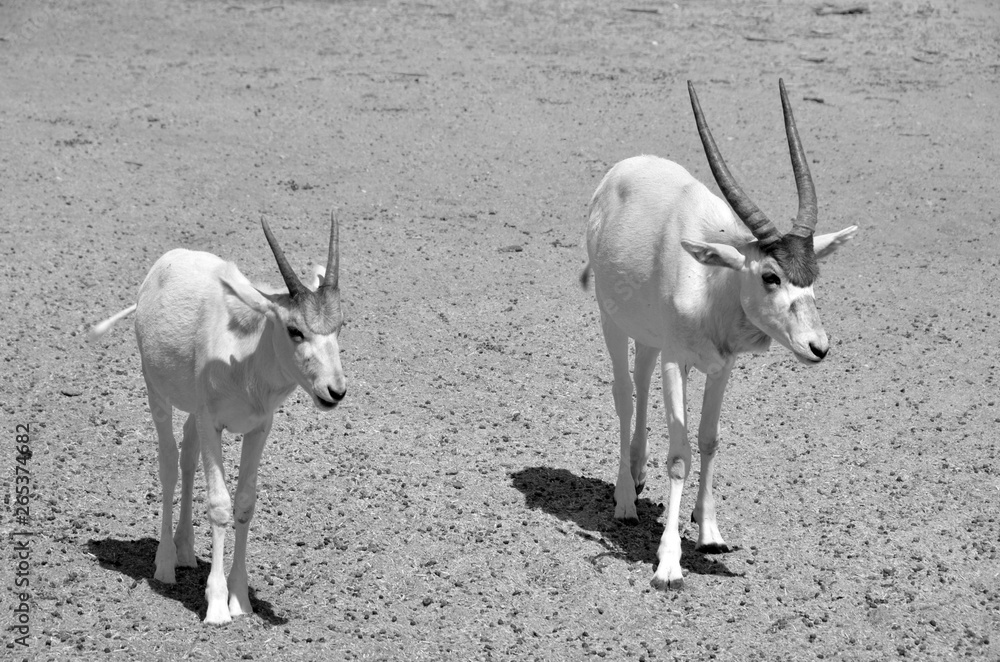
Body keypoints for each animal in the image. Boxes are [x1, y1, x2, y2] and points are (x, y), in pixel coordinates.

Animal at [88, 216, 347, 623]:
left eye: (340, 326)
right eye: (295, 330)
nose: (335, 391)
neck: (245, 353)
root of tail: (163, 267)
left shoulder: (259, 428)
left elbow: (244, 503)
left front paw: (240, 599)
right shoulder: (214, 425)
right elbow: (220, 505)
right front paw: (217, 605)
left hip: (195, 411)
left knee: (188, 456)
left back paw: (185, 550)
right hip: (157, 393)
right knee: (168, 463)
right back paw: (165, 563)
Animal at [581, 80, 857, 590]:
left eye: (813, 276)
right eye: (770, 276)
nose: (818, 347)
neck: (711, 283)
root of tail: (622, 171)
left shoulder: (720, 367)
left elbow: (709, 440)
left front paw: (709, 532)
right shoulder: (678, 362)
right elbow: (679, 454)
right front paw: (669, 564)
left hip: (650, 335)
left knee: (641, 378)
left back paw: (637, 472)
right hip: (613, 322)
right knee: (625, 392)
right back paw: (626, 498)